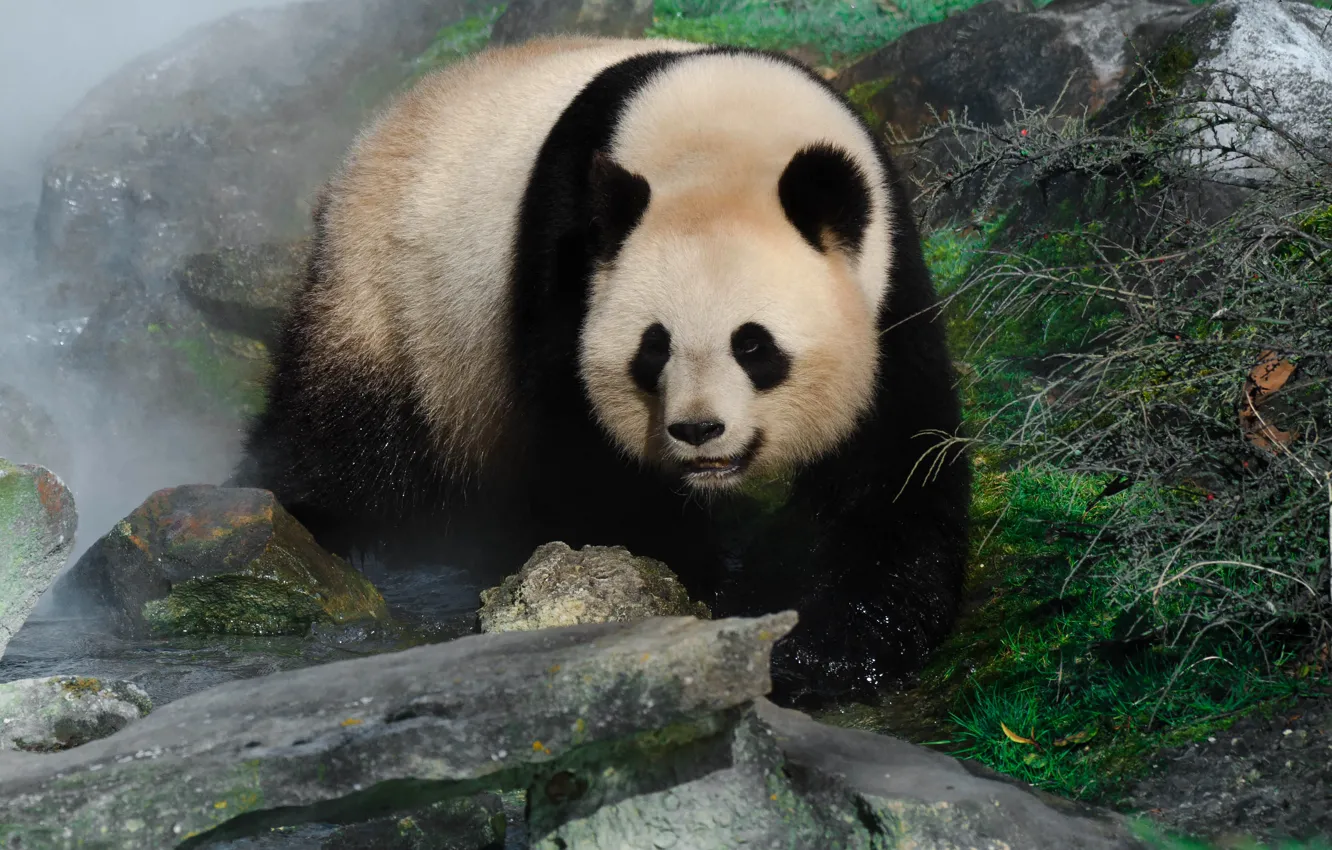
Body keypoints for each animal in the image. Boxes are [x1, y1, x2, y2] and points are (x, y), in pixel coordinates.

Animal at [235, 35, 972, 706]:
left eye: (753, 346)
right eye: (654, 348)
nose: (698, 431)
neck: (725, 143)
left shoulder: (887, 281)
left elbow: (896, 464)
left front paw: (826, 652)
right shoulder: (567, 257)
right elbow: (587, 459)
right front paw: (688, 587)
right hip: (392, 295)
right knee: (346, 429)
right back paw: (305, 516)